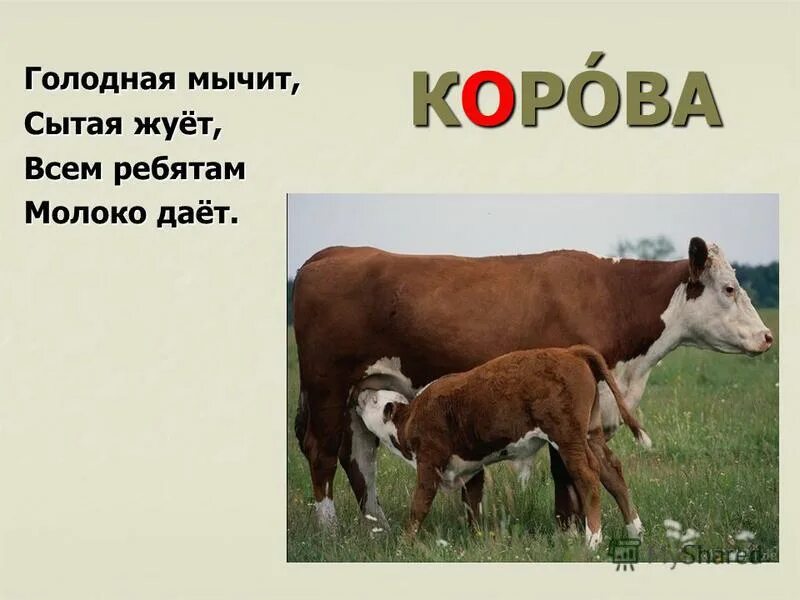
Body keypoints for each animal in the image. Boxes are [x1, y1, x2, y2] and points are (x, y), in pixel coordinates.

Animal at [292, 237, 773, 527]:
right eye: (729, 288)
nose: (768, 336)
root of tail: (332, 253)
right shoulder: (563, 410)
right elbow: (567, 474)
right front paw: (570, 531)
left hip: (361, 390)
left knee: (360, 458)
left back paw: (378, 530)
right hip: (327, 387)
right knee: (323, 454)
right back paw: (330, 529)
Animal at [353, 346, 650, 549]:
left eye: (375, 400)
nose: (360, 392)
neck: (410, 418)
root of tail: (569, 351)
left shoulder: (429, 462)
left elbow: (418, 506)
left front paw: (405, 542)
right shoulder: (470, 468)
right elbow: (472, 504)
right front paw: (475, 539)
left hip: (567, 437)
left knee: (588, 477)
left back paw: (593, 540)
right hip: (590, 433)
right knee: (612, 472)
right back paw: (635, 530)